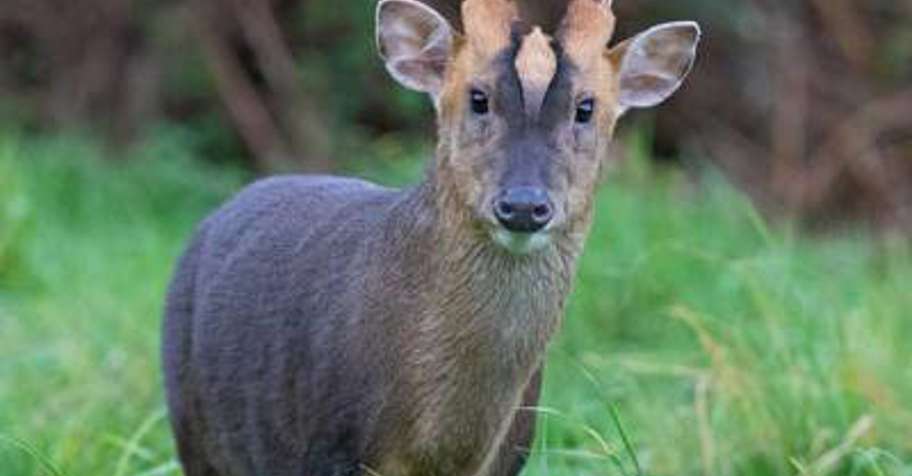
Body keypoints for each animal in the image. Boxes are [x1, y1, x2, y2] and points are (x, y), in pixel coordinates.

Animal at [161, 0, 699, 474]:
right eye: (478, 97)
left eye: (585, 107)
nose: (524, 205)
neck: (442, 448)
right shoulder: (328, 444)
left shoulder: (511, 455)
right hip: (194, 428)